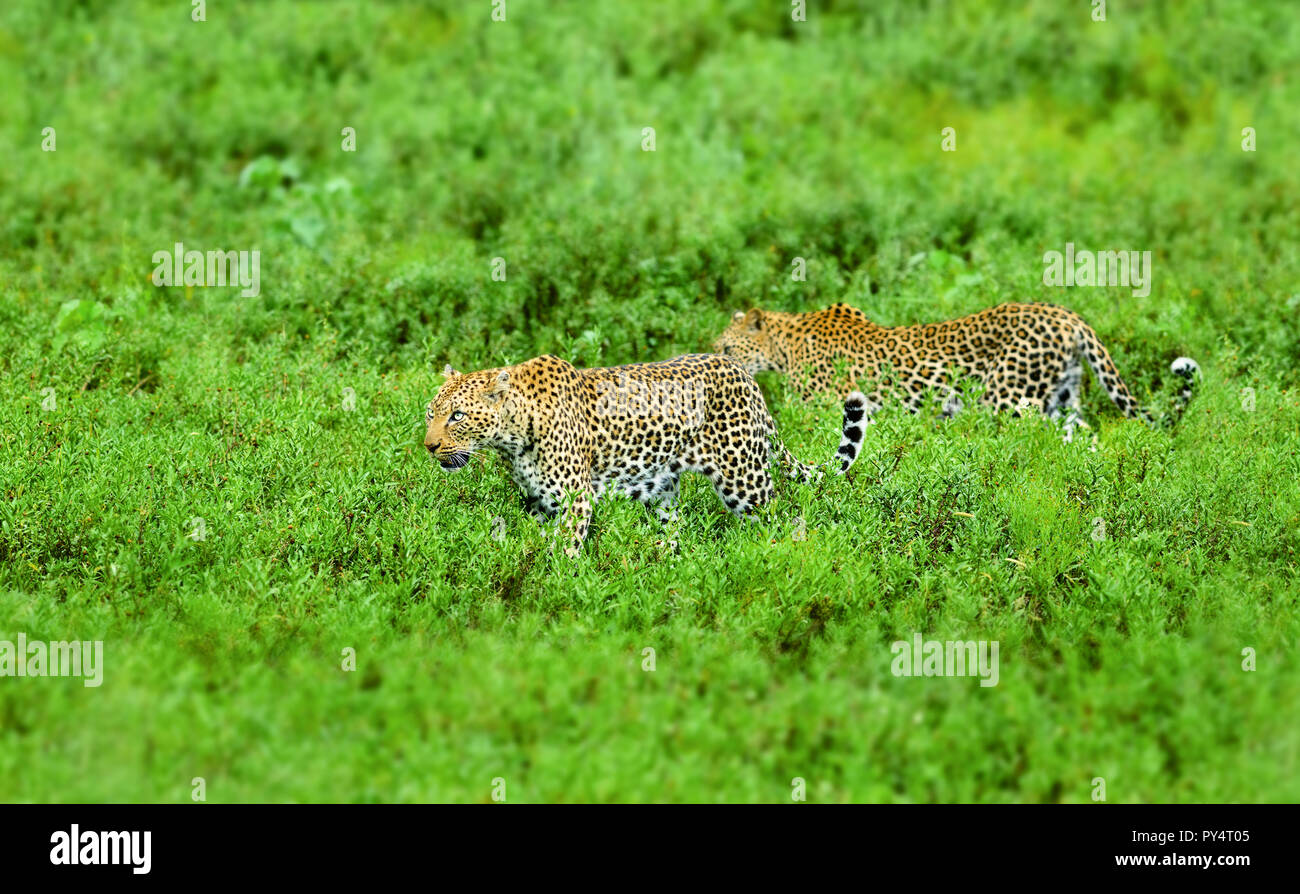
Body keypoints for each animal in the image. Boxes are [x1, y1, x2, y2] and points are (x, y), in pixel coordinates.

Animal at [423, 353, 866, 557]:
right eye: (431, 413)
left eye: (457, 416)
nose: (429, 446)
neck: (513, 437)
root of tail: (743, 372)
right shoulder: (537, 503)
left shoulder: (575, 501)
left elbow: (565, 549)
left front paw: (557, 585)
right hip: (664, 489)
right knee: (675, 527)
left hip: (746, 482)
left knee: (783, 518)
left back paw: (778, 560)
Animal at [712, 301, 1199, 472]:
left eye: (726, 346)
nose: (714, 356)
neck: (783, 342)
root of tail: (1067, 315)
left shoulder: (819, 408)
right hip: (1064, 401)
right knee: (1081, 436)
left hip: (1006, 401)